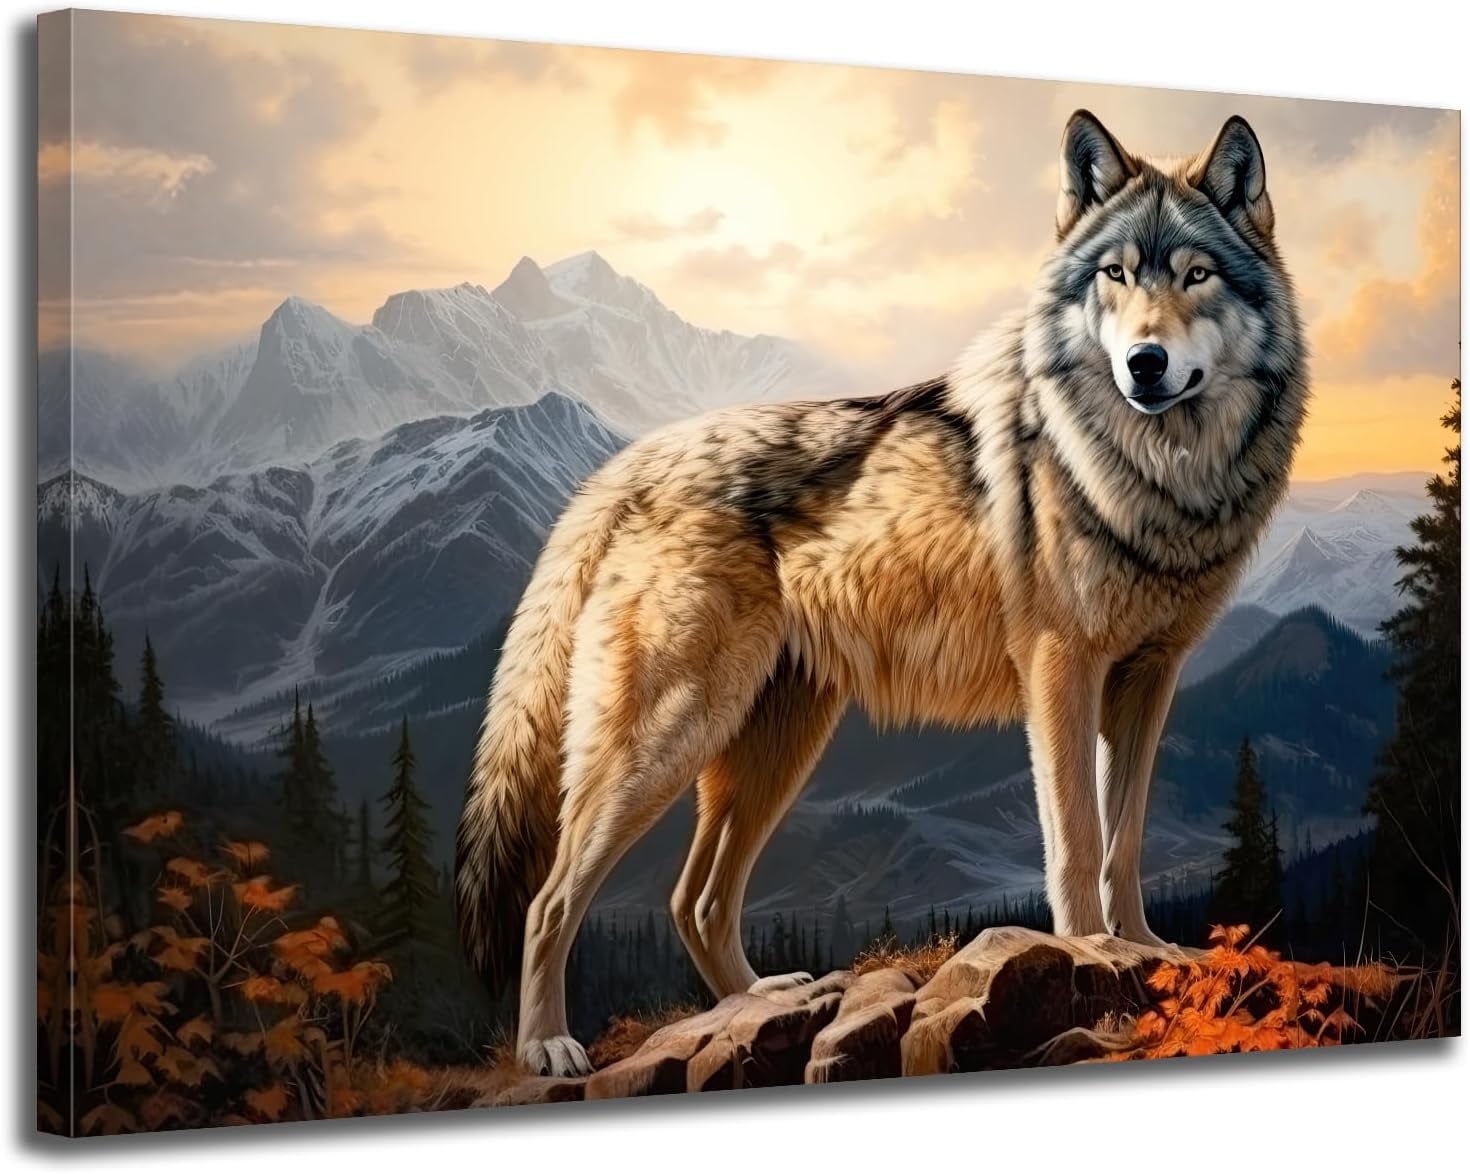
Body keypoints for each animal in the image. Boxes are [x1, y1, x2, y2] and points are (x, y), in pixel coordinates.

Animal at [456, 111, 1308, 1077]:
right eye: (1116, 276)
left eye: (1196, 276)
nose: (1146, 362)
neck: (1158, 475)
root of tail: (623, 466)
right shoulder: (1062, 670)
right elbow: (1076, 840)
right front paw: (1093, 950)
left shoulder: (1147, 679)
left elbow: (1124, 841)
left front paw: (1145, 950)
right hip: (671, 737)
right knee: (551, 899)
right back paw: (548, 1045)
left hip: (775, 744)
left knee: (694, 900)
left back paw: (761, 1002)